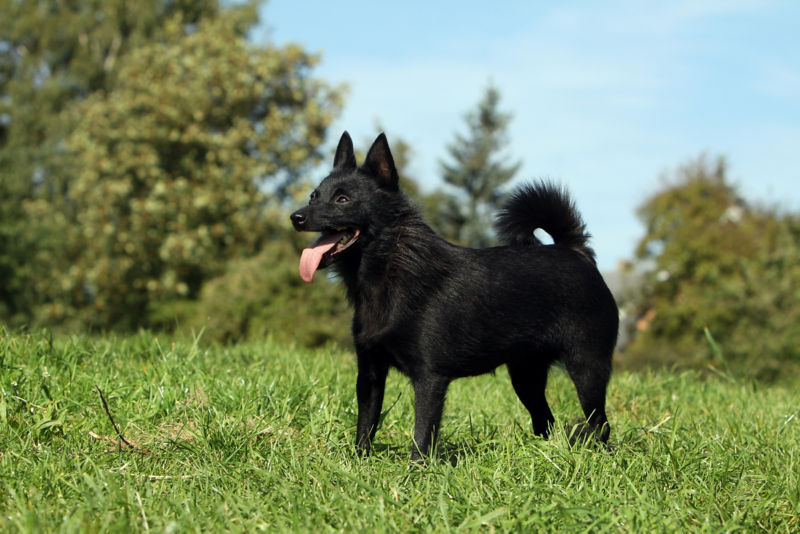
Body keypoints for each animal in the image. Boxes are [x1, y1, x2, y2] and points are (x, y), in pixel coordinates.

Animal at [290, 133, 620, 460]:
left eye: (342, 199)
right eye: (314, 196)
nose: (296, 217)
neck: (389, 270)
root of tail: (575, 252)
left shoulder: (430, 379)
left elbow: (422, 434)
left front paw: (416, 470)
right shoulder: (370, 374)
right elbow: (366, 425)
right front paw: (358, 464)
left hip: (587, 369)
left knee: (600, 424)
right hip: (526, 376)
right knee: (546, 422)